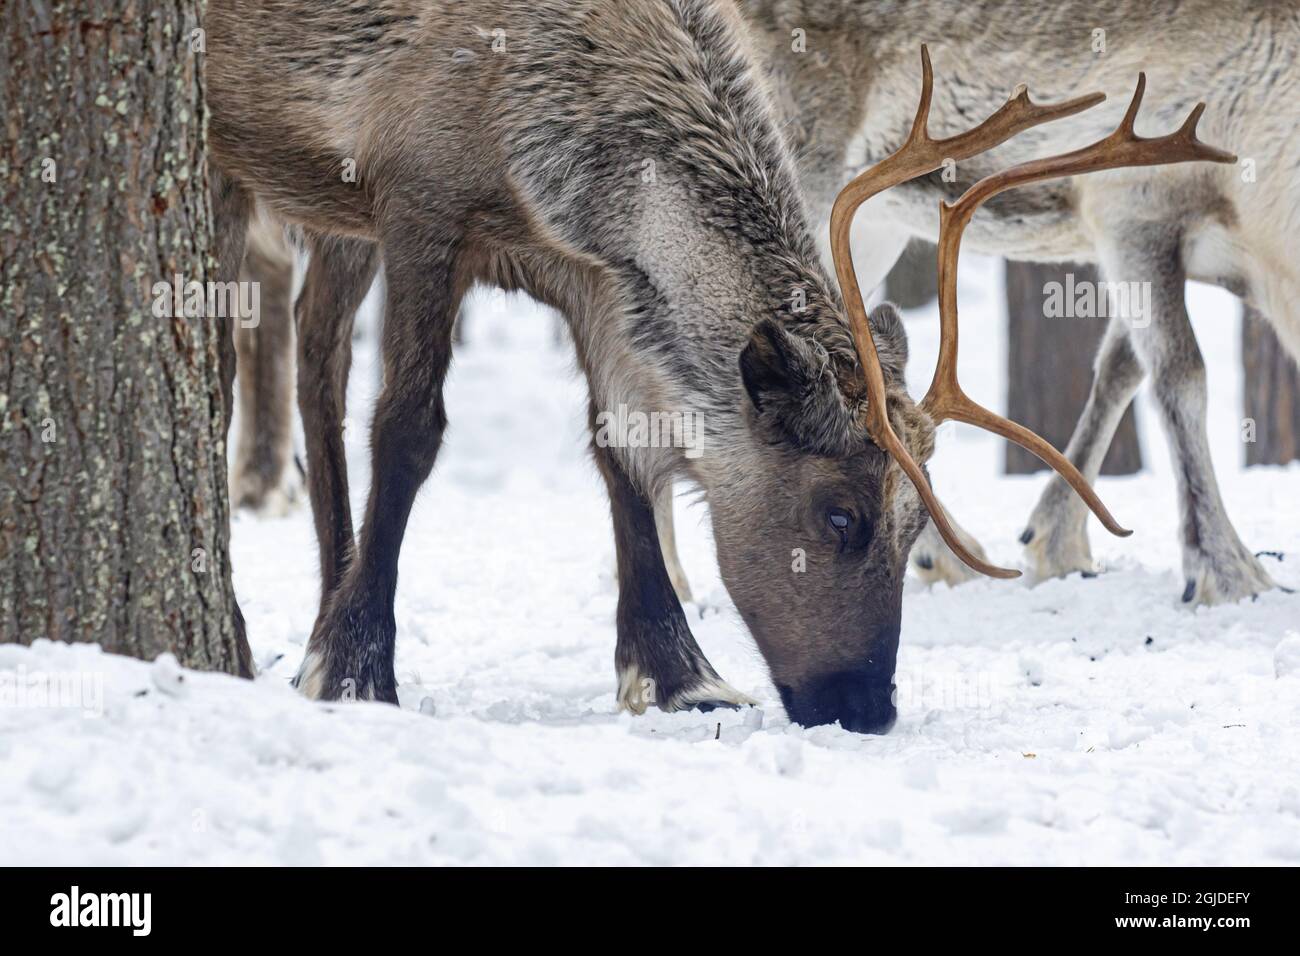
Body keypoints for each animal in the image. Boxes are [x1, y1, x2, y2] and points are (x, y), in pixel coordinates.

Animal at [206, 0, 1230, 732]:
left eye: (917, 528)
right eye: (840, 514)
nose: (867, 707)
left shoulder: (588, 276)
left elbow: (623, 448)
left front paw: (678, 673)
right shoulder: (421, 200)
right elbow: (410, 428)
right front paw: (357, 667)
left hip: (326, 213)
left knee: (312, 349)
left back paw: (318, 600)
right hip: (250, 164)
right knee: (288, 358)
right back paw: (308, 623)